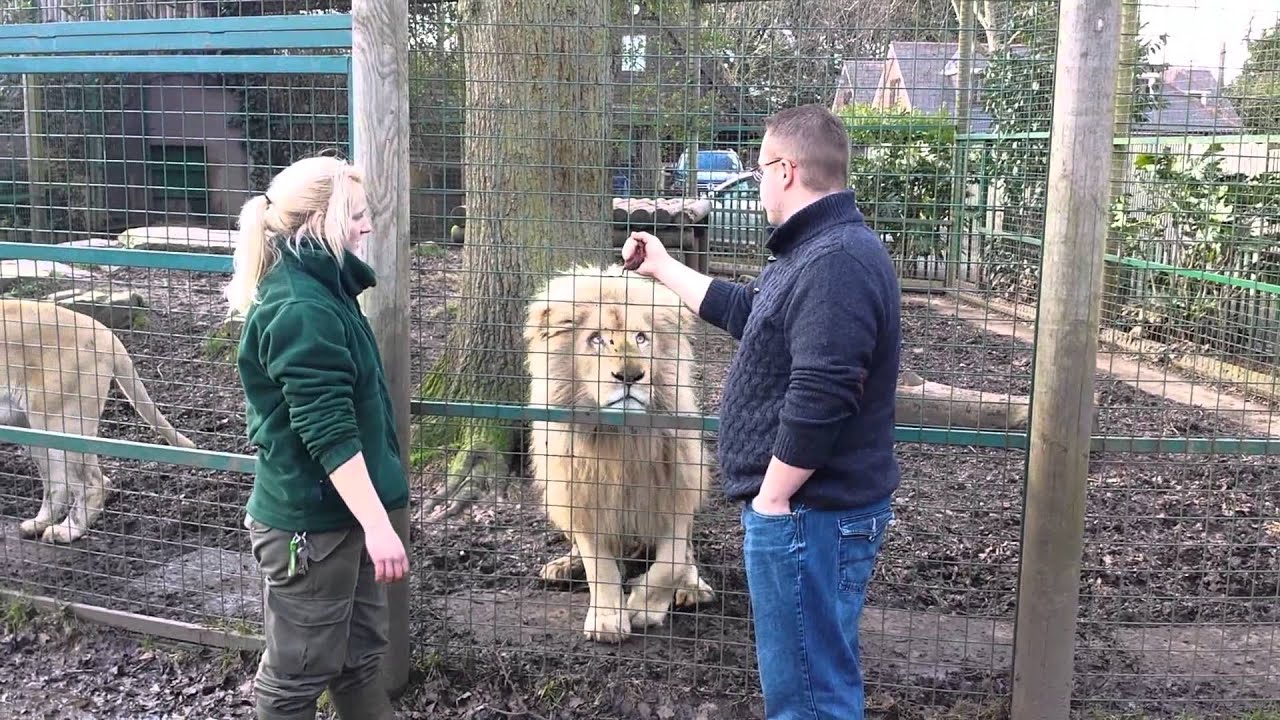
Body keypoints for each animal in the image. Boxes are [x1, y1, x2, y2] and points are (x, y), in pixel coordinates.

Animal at [0, 298, 197, 544]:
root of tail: (105, 333)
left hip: (59, 422)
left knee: (94, 483)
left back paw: (67, 531)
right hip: (30, 428)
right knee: (57, 482)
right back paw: (38, 524)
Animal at [524, 263, 715, 643]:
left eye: (641, 338)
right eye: (596, 339)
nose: (630, 375)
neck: (620, 438)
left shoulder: (675, 489)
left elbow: (671, 563)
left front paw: (643, 607)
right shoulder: (582, 494)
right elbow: (601, 567)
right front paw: (608, 620)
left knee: (686, 555)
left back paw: (693, 588)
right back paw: (564, 565)